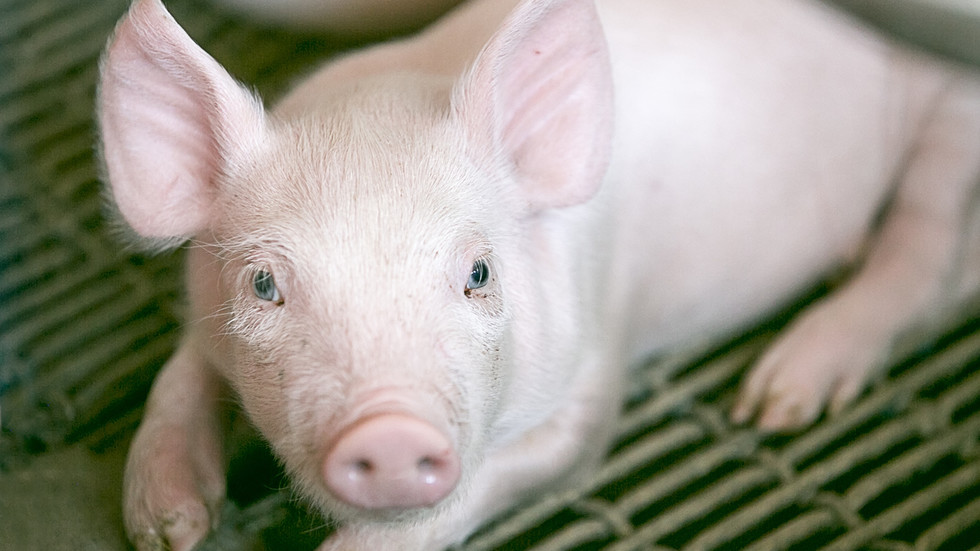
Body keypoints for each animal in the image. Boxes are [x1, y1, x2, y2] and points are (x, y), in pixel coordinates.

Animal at [96, 0, 980, 549]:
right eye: (264, 285)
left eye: (479, 271)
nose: (389, 429)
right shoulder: (203, 315)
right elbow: (178, 378)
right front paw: (166, 523)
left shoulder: (594, 366)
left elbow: (521, 468)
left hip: (950, 124)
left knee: (935, 261)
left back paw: (782, 396)